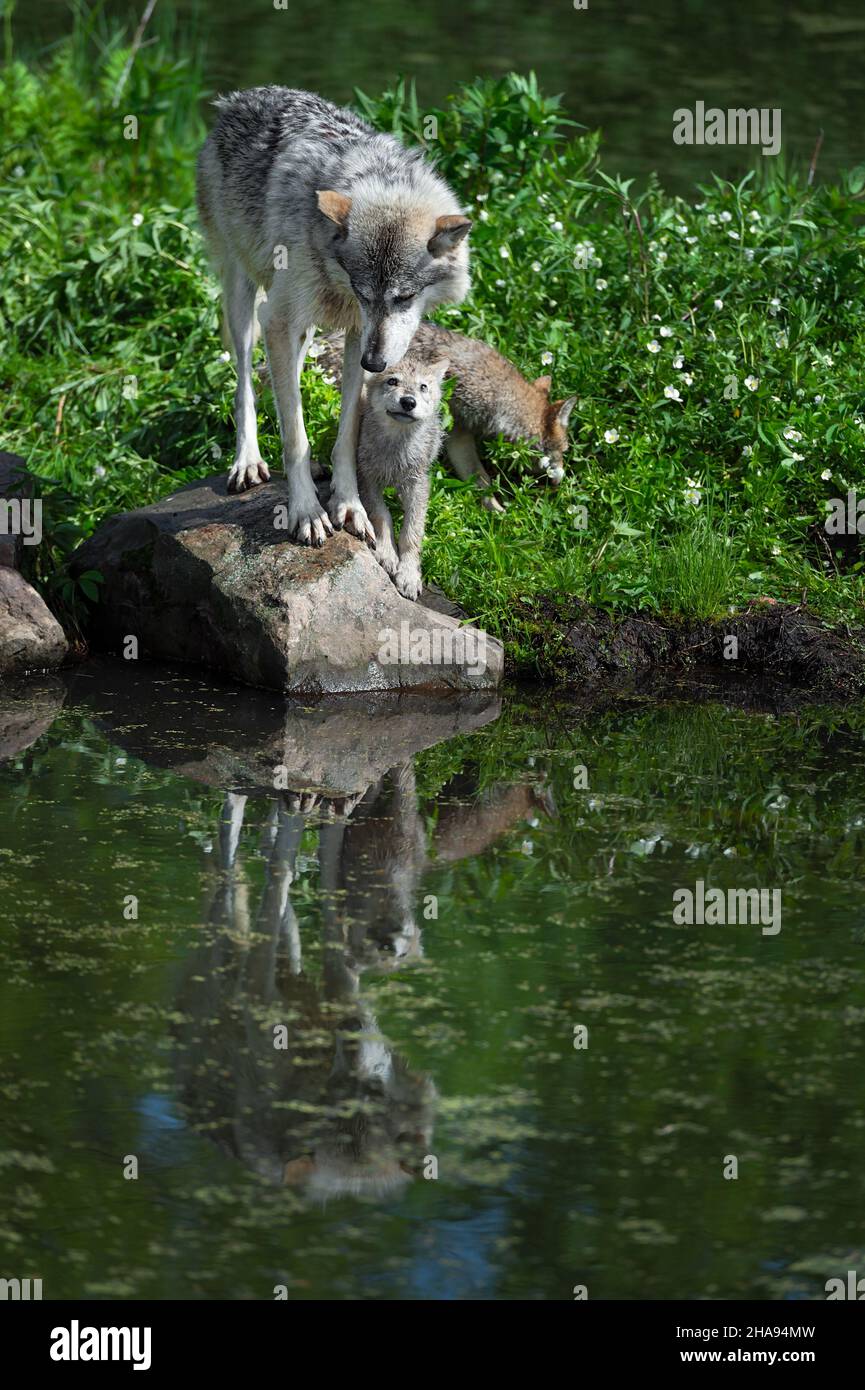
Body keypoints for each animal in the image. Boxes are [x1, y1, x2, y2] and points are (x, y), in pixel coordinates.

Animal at [196, 87, 471, 546]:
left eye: (404, 297)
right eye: (364, 292)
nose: (375, 363)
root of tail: (237, 98)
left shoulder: (356, 334)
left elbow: (345, 432)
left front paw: (349, 504)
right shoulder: (281, 320)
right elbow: (295, 436)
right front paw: (306, 511)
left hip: (300, 327)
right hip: (246, 300)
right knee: (246, 382)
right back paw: (248, 459)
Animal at [355, 353, 450, 600]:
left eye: (423, 387)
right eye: (392, 381)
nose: (408, 402)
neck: (395, 454)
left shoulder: (417, 486)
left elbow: (411, 532)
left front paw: (409, 575)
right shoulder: (367, 479)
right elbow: (382, 516)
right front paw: (387, 554)